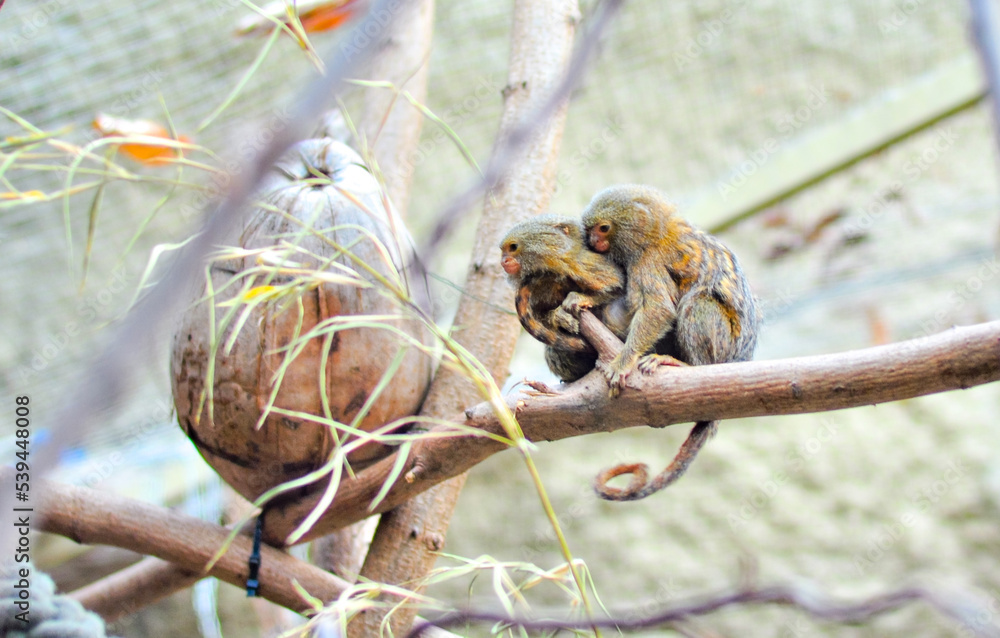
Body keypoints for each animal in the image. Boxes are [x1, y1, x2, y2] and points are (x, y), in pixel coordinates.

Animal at [499, 215, 626, 382]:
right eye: (503, 251)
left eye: (513, 247)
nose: (503, 261)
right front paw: (559, 317)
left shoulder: (581, 263)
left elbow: (620, 287)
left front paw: (580, 299)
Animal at [581, 184, 760, 501]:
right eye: (590, 230)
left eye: (603, 228)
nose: (593, 240)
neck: (653, 234)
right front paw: (583, 299)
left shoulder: (649, 261)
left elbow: (659, 308)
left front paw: (623, 362)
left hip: (721, 345)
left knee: (697, 304)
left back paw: (687, 365)